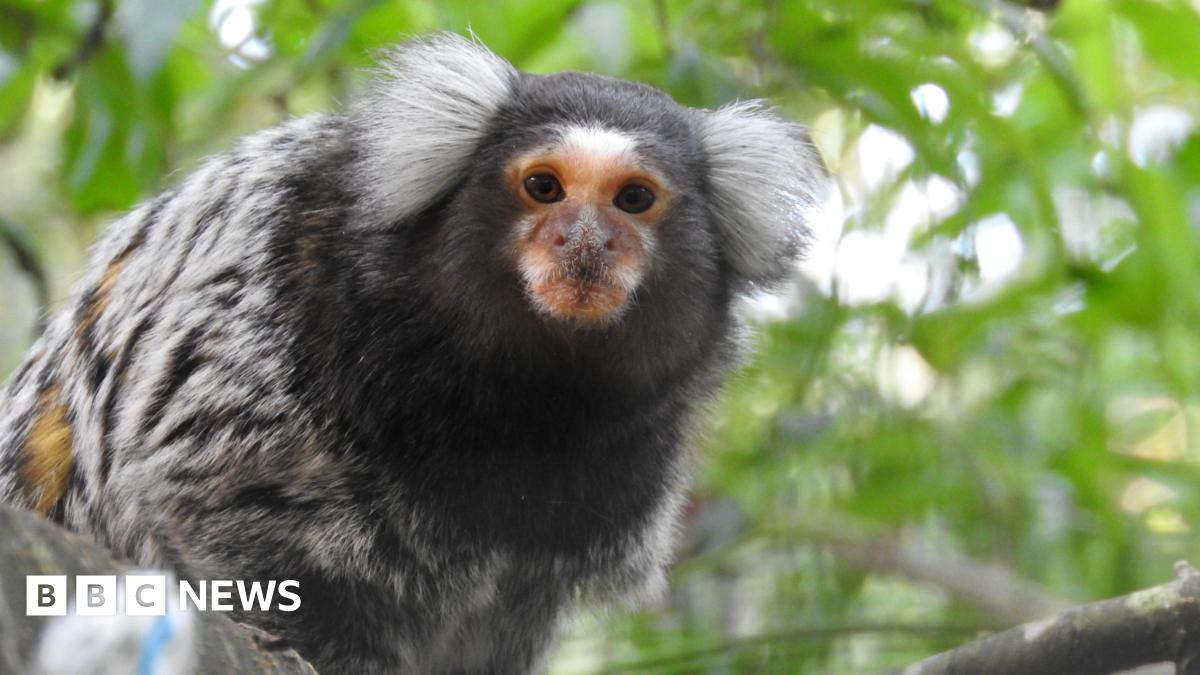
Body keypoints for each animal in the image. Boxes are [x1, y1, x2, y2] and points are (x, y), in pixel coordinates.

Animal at [0, 33, 825, 674]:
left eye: (634, 199)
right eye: (543, 186)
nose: (585, 244)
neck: (517, 390)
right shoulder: (264, 296)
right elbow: (202, 496)